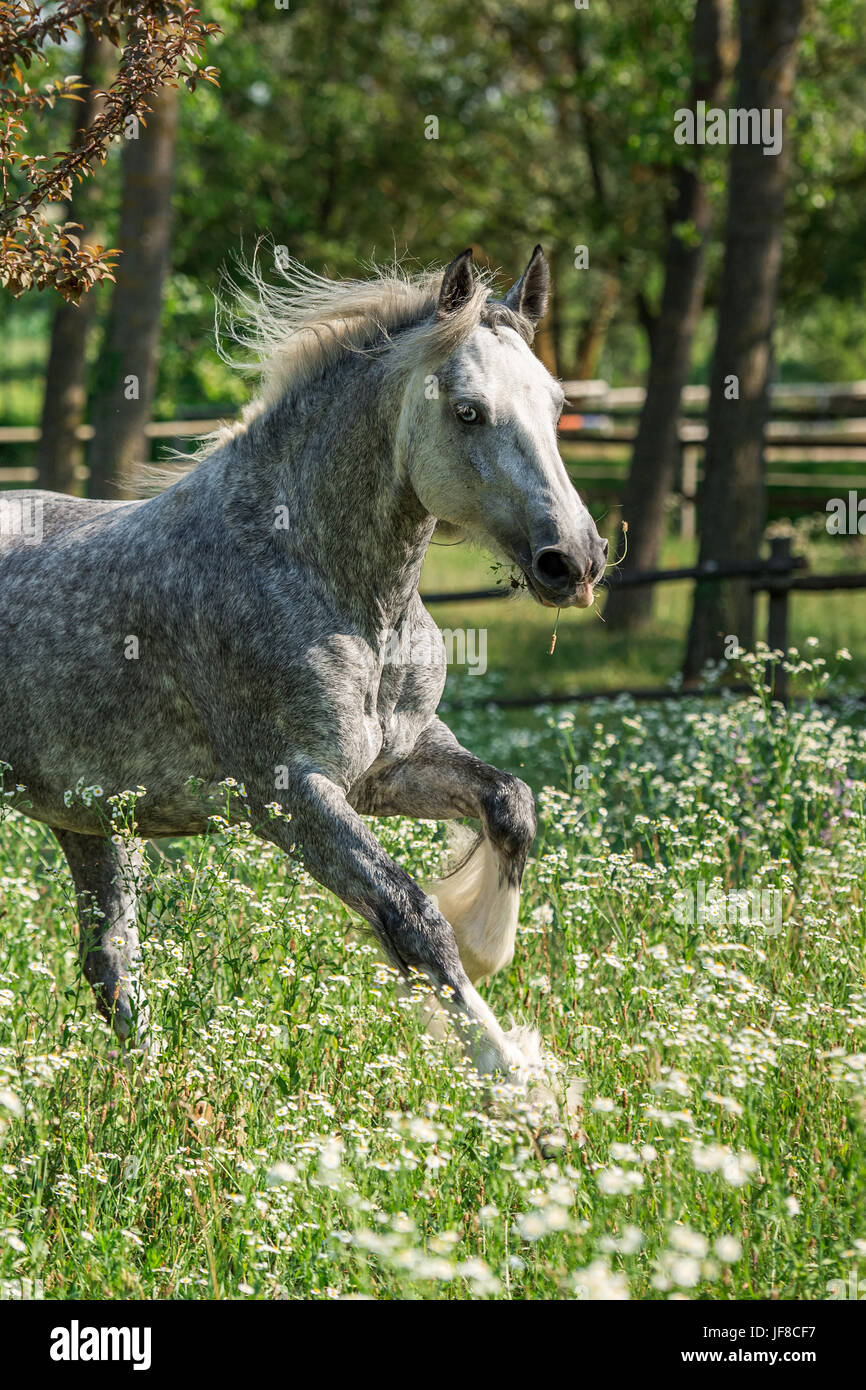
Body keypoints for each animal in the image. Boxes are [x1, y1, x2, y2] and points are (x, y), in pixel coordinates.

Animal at [0, 246, 607, 1107]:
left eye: (557, 407)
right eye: (467, 412)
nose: (575, 562)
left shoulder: (387, 768)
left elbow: (510, 803)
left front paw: (489, 948)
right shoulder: (289, 794)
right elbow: (411, 918)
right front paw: (517, 1086)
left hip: (86, 817)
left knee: (111, 961)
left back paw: (157, 1100)